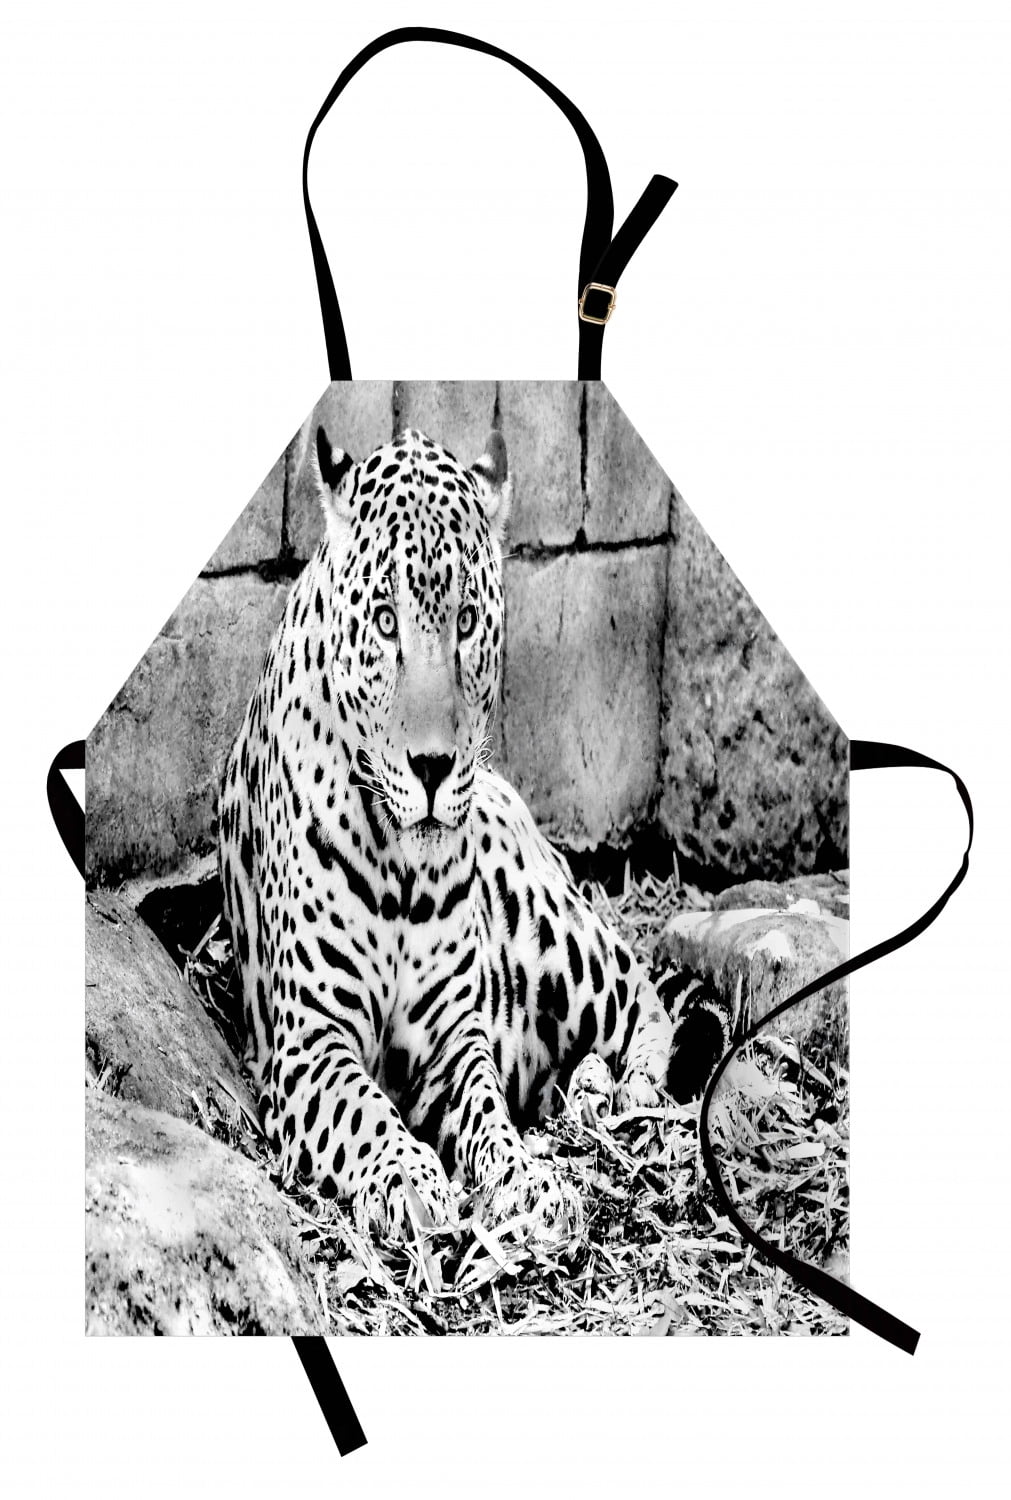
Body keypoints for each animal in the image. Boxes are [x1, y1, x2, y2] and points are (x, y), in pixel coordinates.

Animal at [217, 422, 732, 1241]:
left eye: (464, 621)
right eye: (385, 621)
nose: (432, 766)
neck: (401, 870)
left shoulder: (455, 1036)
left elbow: (488, 1113)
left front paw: (526, 1181)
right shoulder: (308, 1044)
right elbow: (367, 1112)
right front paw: (408, 1177)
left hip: (555, 936)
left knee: (643, 992)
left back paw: (620, 1091)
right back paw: (586, 1088)